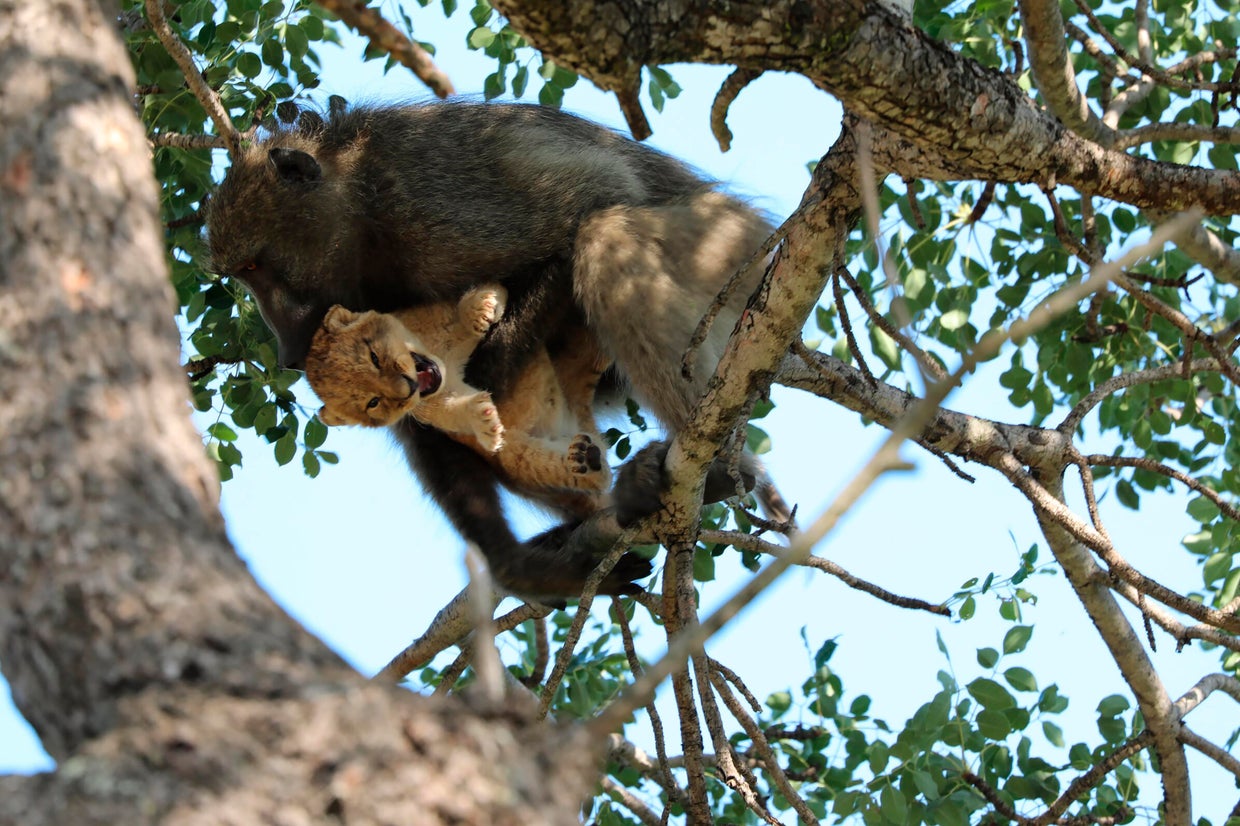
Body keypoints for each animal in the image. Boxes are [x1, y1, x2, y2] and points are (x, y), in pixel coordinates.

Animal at [205, 101, 789, 598]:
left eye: (255, 266)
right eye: (241, 274)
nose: (287, 352)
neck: (356, 203)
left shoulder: (433, 205)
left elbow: (594, 197)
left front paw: (490, 368)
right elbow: (410, 416)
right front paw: (522, 569)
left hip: (729, 252)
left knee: (606, 234)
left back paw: (717, 468)